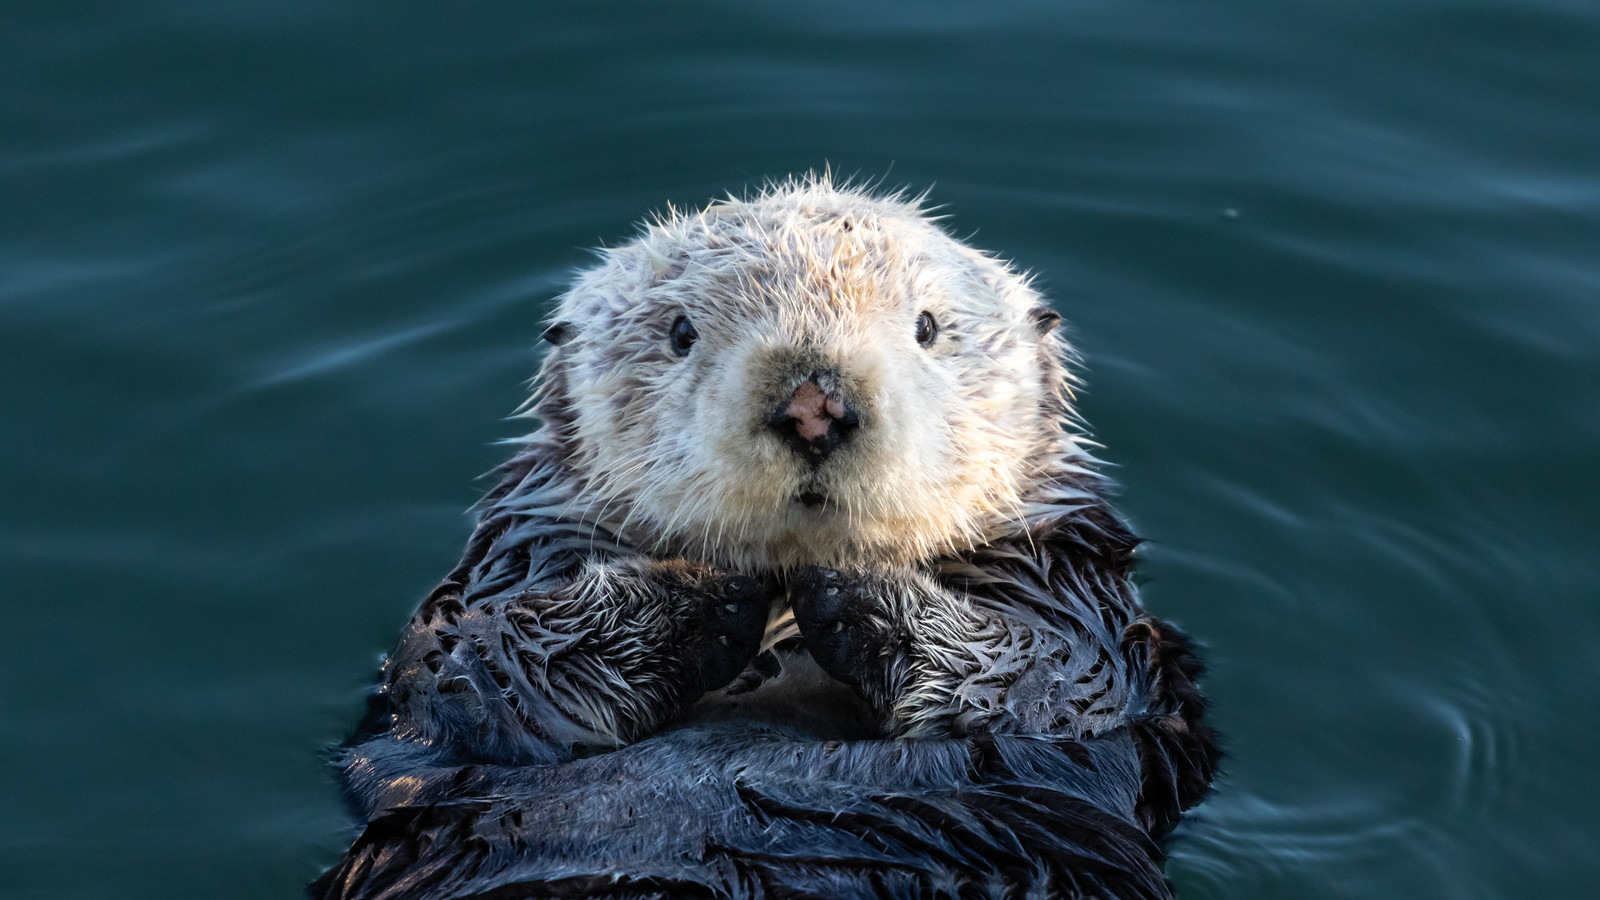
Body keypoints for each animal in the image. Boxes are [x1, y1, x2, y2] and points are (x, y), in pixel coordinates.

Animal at [312, 178, 1219, 900]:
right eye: (680, 332)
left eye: (928, 326)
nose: (814, 406)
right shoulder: (498, 589)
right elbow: (474, 664)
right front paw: (712, 592)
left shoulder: (1089, 614)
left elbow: (1049, 679)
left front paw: (846, 586)